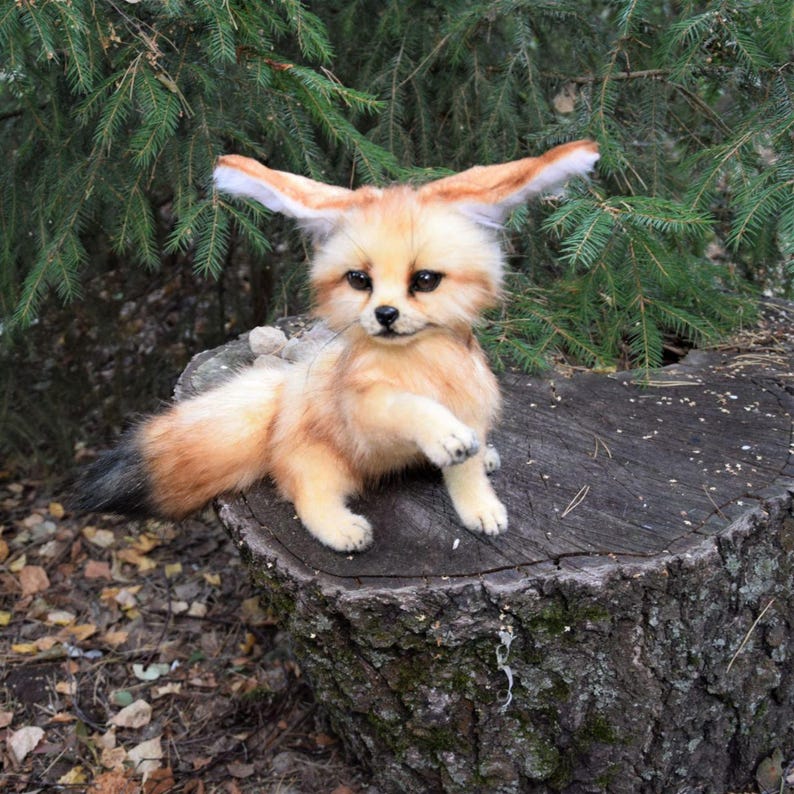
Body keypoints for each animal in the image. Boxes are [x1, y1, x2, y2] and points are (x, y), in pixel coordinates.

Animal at [77, 140, 599, 552]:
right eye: (359, 280)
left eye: (424, 280)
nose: (384, 315)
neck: (420, 365)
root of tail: (281, 399)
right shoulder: (366, 411)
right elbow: (407, 407)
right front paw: (441, 433)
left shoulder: (470, 405)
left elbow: (465, 471)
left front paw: (480, 505)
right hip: (322, 467)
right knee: (306, 495)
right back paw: (342, 529)